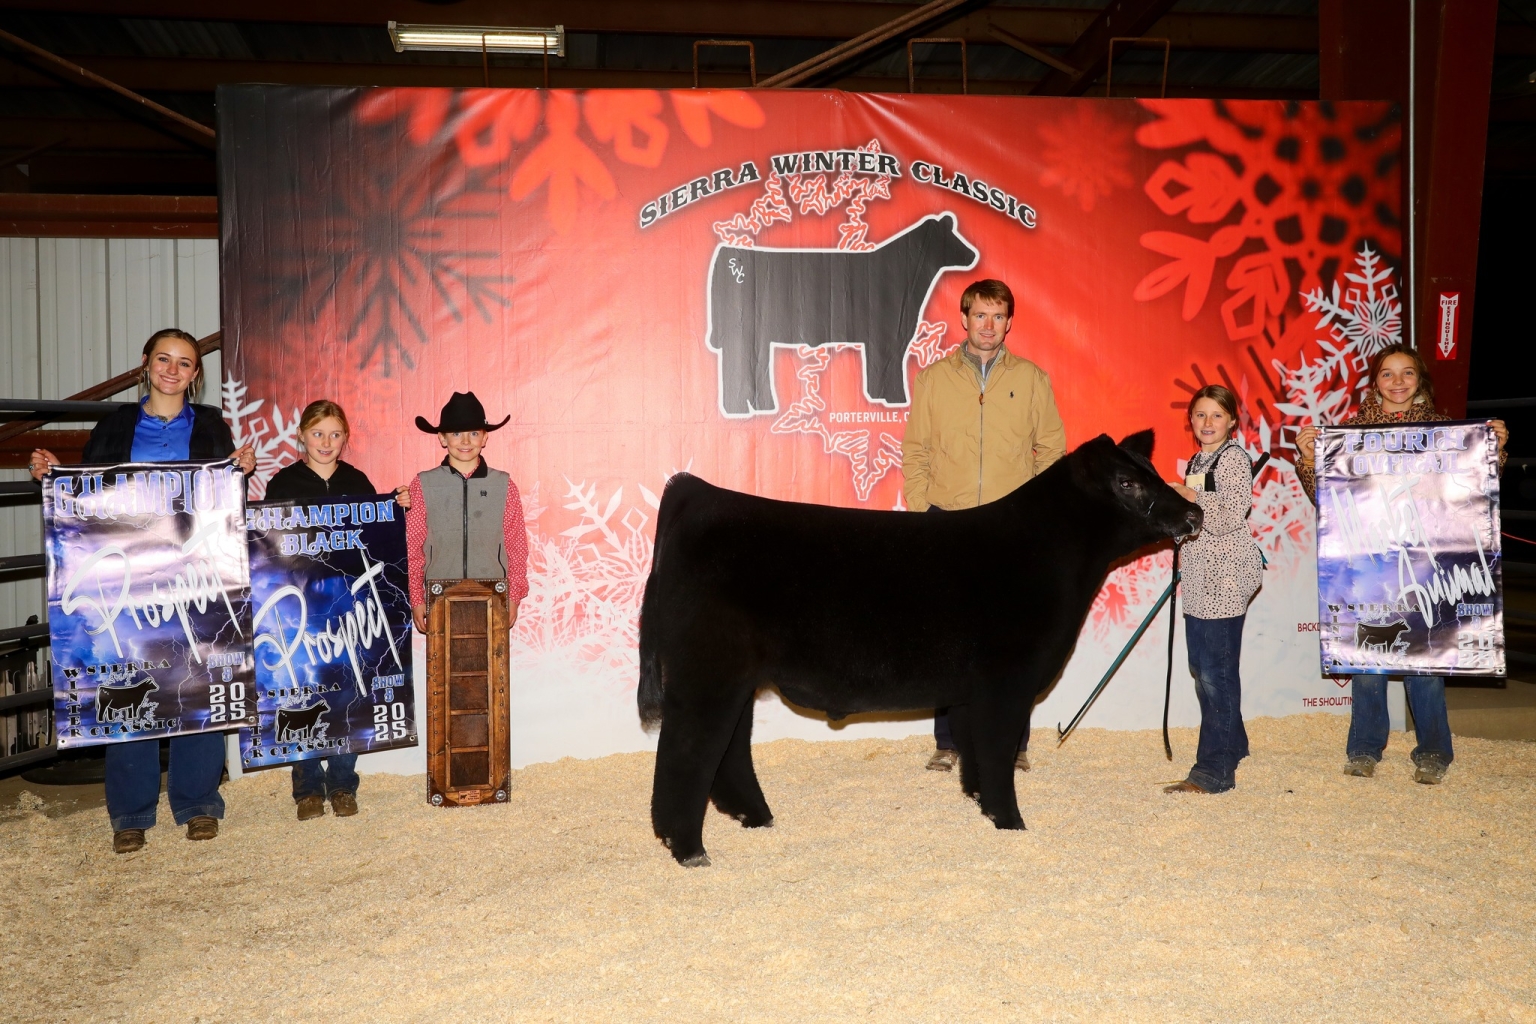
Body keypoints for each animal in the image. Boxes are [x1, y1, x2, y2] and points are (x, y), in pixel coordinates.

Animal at [637, 430, 1201, 866]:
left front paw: (982, 806)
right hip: (709, 673)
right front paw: (1011, 822)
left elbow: (976, 751)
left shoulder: (975, 689)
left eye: (1153, 470)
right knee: (688, 751)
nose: (1195, 512)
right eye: (1127, 482)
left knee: (729, 749)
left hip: (737, 676)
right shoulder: (1008, 682)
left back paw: (755, 818)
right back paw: (689, 849)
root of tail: (698, 492)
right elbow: (997, 752)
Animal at [706, 212, 979, 417]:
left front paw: (879, 397)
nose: (973, 254)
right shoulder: (887, 335)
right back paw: (740, 410)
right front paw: (896, 399)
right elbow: (889, 367)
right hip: (741, 335)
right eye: (949, 236)